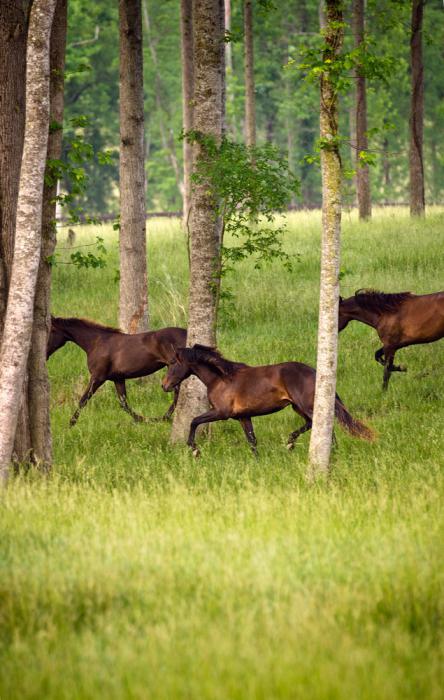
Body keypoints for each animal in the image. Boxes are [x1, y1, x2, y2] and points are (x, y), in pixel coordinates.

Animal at [47, 318, 186, 426]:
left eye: (51, 331)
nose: (45, 354)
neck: (96, 343)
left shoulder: (97, 377)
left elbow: (83, 400)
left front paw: (71, 423)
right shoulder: (118, 378)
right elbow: (124, 403)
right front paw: (142, 420)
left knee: (177, 393)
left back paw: (165, 417)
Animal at [161, 346, 372, 456]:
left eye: (172, 363)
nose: (164, 385)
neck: (220, 378)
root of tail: (315, 373)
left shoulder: (221, 413)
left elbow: (194, 421)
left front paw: (194, 450)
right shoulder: (243, 417)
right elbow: (252, 440)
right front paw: (257, 461)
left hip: (306, 406)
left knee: (323, 425)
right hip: (298, 407)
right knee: (312, 424)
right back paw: (291, 443)